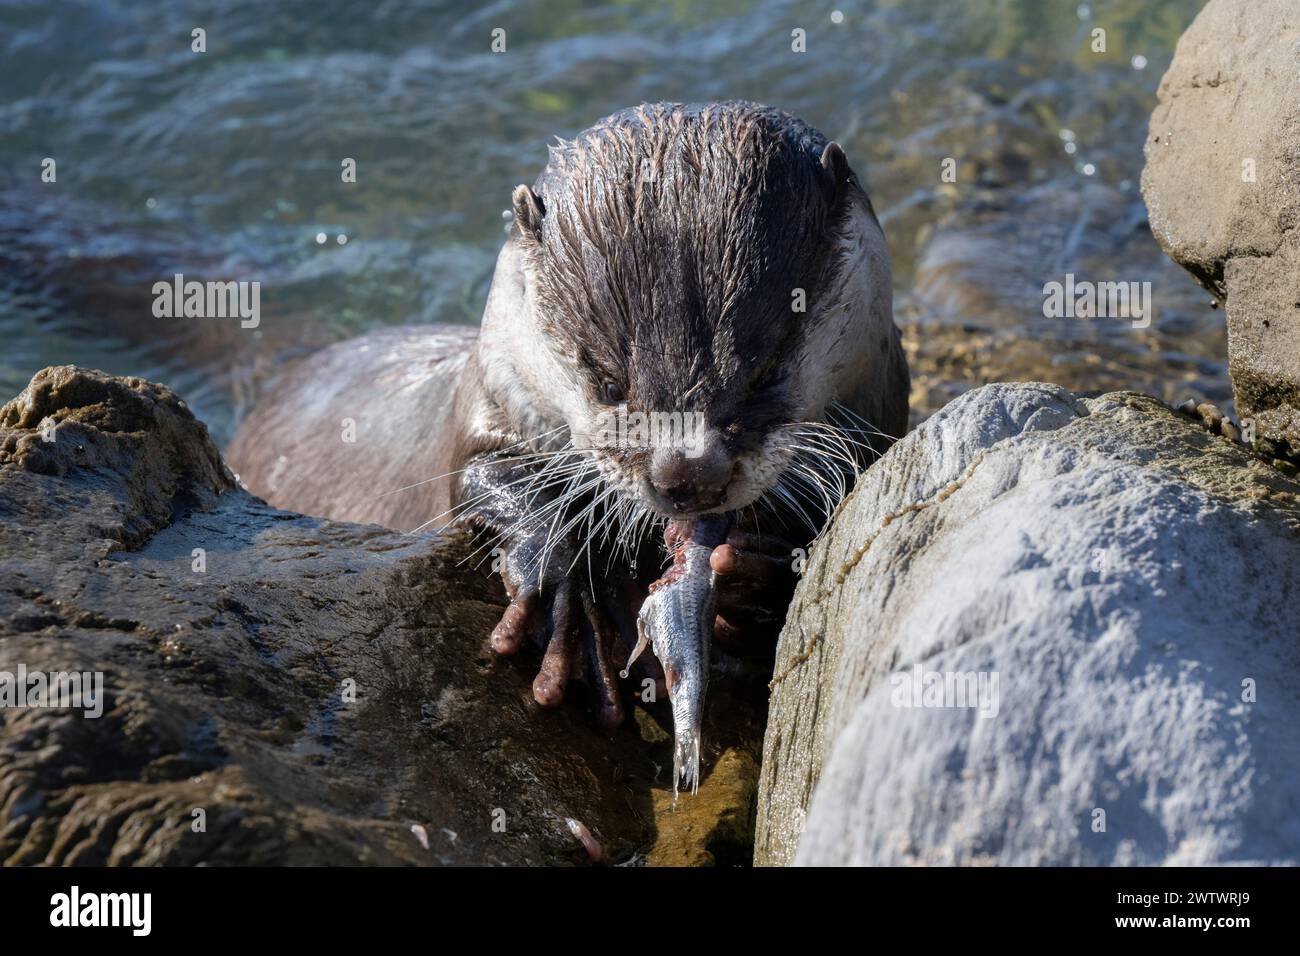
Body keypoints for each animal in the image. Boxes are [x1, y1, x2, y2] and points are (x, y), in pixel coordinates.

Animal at [226, 101, 909, 730]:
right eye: (608, 382)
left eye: (766, 370)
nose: (688, 474)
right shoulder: (492, 396)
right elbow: (477, 473)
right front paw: (567, 597)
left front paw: (761, 565)